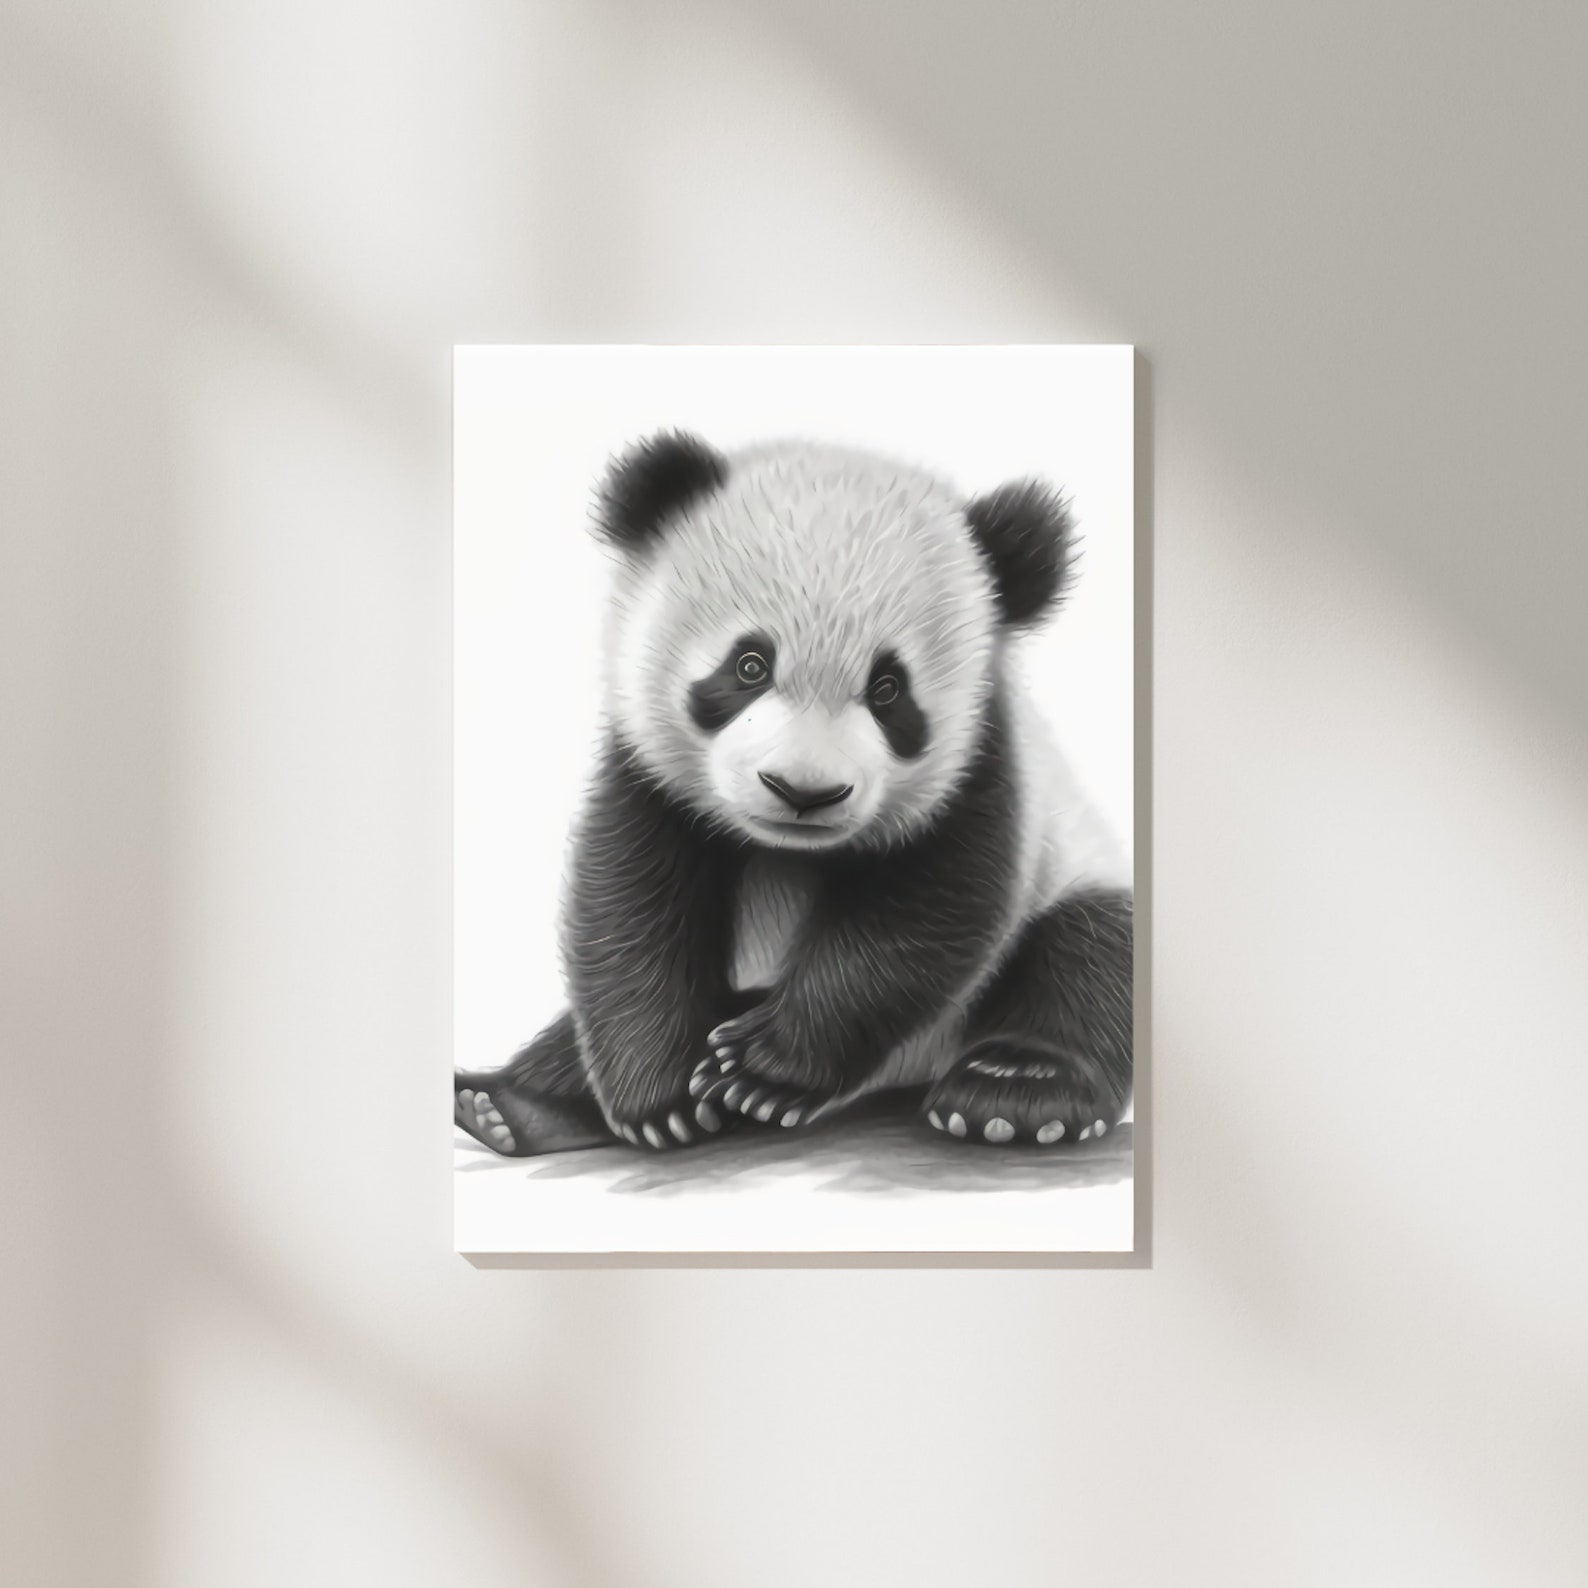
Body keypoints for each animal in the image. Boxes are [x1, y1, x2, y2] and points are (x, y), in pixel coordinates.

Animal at [454, 431, 1132, 1156]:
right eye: (749, 665)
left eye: (889, 690)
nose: (804, 791)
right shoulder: (648, 770)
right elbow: (629, 907)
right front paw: (661, 1098)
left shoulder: (985, 770)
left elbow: (922, 914)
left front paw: (758, 1071)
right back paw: (510, 1106)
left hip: (1064, 887)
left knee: (1086, 960)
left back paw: (1012, 1094)